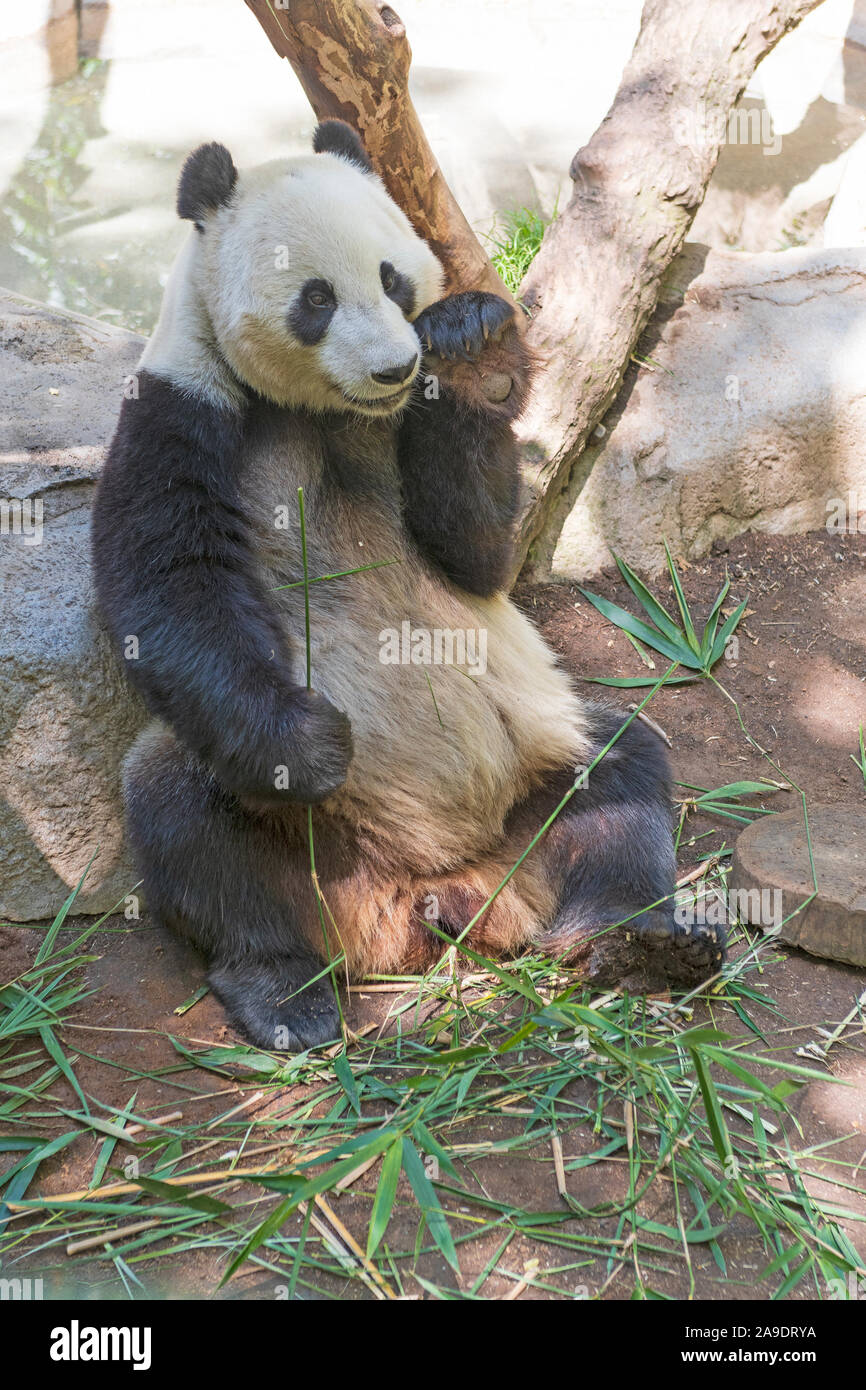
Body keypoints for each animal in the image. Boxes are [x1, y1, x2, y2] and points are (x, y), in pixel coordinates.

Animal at [91, 121, 724, 1050]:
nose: (395, 366)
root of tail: (433, 890)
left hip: (537, 767)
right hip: (298, 833)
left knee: (621, 783)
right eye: (316, 299)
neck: (332, 412)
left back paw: (635, 944)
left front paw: (470, 350)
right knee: (188, 821)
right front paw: (313, 744)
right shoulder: (181, 405)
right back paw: (285, 993)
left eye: (393, 278)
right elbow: (170, 586)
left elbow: (480, 554)